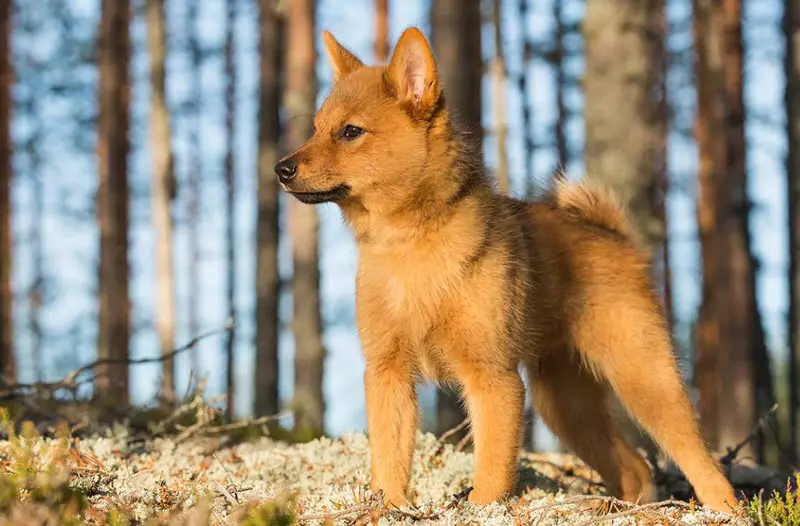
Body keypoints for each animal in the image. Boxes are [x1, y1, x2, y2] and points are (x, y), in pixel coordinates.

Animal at [276, 26, 736, 512]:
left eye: (350, 132)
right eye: (315, 129)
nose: (281, 168)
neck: (409, 248)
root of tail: (615, 238)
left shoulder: (493, 379)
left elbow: (493, 470)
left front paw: (480, 507)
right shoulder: (388, 374)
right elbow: (389, 459)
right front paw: (386, 508)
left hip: (644, 380)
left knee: (699, 460)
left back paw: (723, 508)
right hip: (565, 407)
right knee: (634, 469)